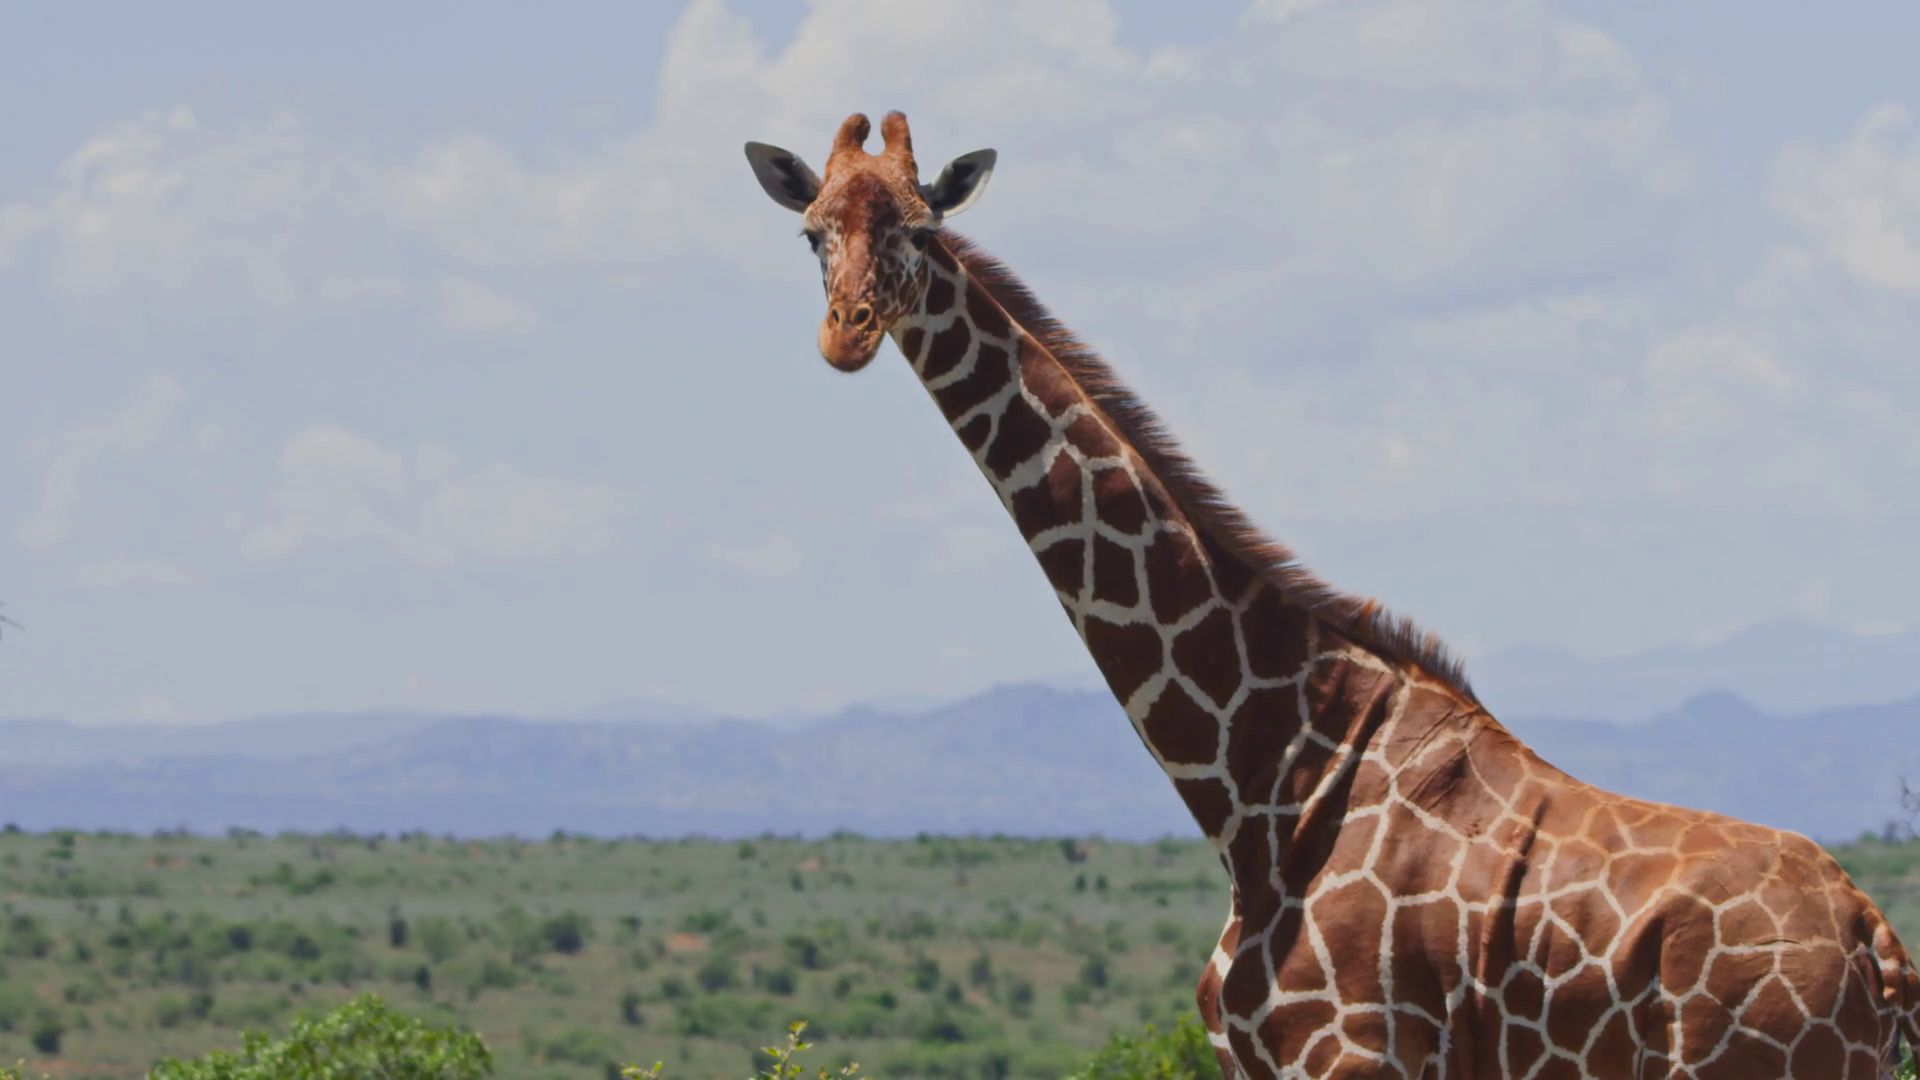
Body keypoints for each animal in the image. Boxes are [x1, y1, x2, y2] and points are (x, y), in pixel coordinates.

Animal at [743, 111, 1920, 1079]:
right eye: (812, 232)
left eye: (921, 230)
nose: (847, 332)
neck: (1260, 777)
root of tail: (1877, 941)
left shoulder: (1346, 1059)